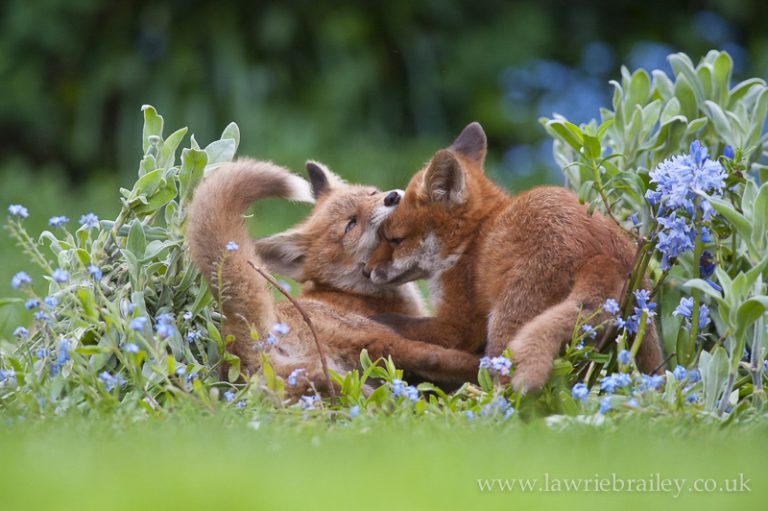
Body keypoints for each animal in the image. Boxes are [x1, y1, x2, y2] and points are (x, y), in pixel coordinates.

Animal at [186, 157, 480, 397]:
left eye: (372, 193)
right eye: (351, 224)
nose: (393, 197)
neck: (352, 294)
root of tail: (244, 334)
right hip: (380, 342)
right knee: (446, 362)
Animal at [364, 122, 664, 392]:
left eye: (395, 239)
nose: (366, 270)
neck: (473, 238)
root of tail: (602, 253)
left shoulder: (457, 324)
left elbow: (397, 322)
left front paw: (375, 323)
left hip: (505, 325)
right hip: (643, 333)